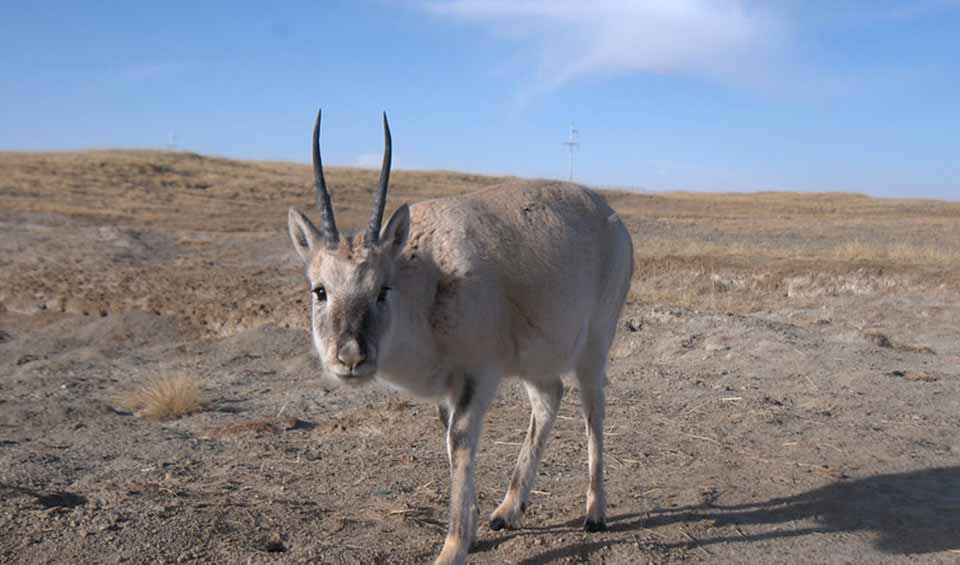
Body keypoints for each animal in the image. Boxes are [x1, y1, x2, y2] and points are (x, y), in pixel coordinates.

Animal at [287, 110, 634, 564]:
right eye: (320, 290)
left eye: (382, 289)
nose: (350, 356)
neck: (429, 276)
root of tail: (613, 218)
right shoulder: (449, 387)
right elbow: (449, 440)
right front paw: (470, 531)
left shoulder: (478, 375)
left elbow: (460, 439)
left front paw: (452, 548)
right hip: (535, 359)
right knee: (549, 398)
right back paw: (508, 509)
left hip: (594, 345)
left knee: (594, 410)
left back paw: (595, 511)